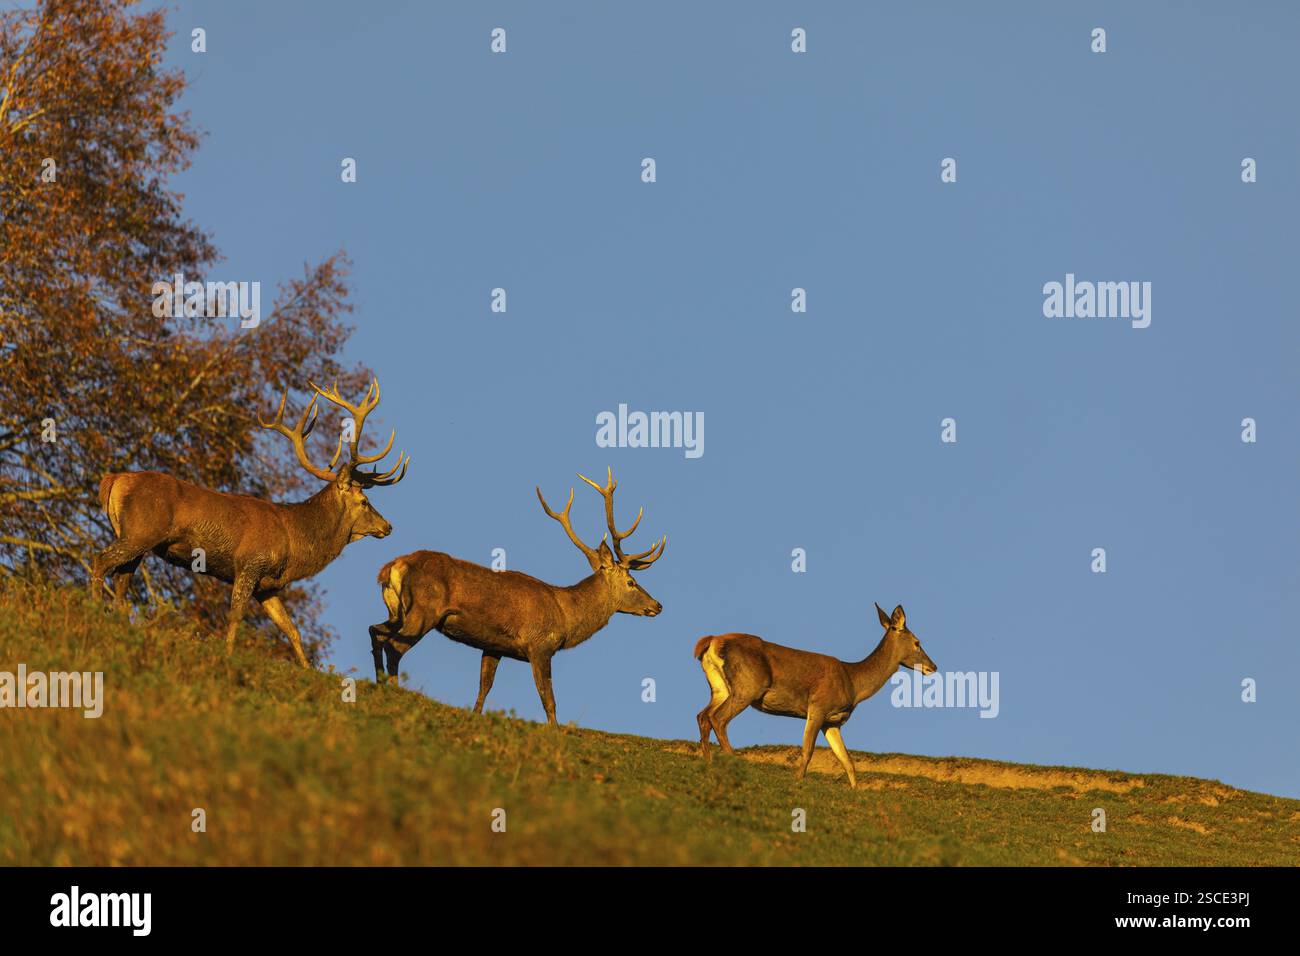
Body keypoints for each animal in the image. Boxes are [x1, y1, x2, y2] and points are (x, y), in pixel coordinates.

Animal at [90, 378, 408, 666]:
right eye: (364, 501)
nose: (388, 526)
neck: (294, 538)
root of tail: (114, 480)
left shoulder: (267, 586)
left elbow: (292, 630)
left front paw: (308, 670)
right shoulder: (250, 564)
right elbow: (235, 615)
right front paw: (228, 656)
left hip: (136, 538)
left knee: (121, 581)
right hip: (141, 532)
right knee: (100, 560)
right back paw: (95, 611)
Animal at [368, 467, 666, 725]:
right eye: (631, 582)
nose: (658, 605)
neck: (566, 614)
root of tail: (392, 567)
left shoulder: (494, 645)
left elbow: (484, 687)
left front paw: (476, 716)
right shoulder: (540, 645)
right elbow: (548, 699)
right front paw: (554, 730)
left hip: (396, 612)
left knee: (375, 631)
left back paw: (380, 683)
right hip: (423, 612)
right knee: (394, 646)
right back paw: (394, 690)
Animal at [693, 603, 937, 788]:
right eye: (917, 642)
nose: (933, 666)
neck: (853, 681)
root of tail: (711, 641)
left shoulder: (832, 722)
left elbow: (847, 760)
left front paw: (855, 790)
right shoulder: (818, 706)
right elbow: (807, 751)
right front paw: (798, 781)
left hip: (720, 688)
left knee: (702, 715)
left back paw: (708, 762)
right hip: (748, 686)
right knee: (718, 718)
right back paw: (734, 762)